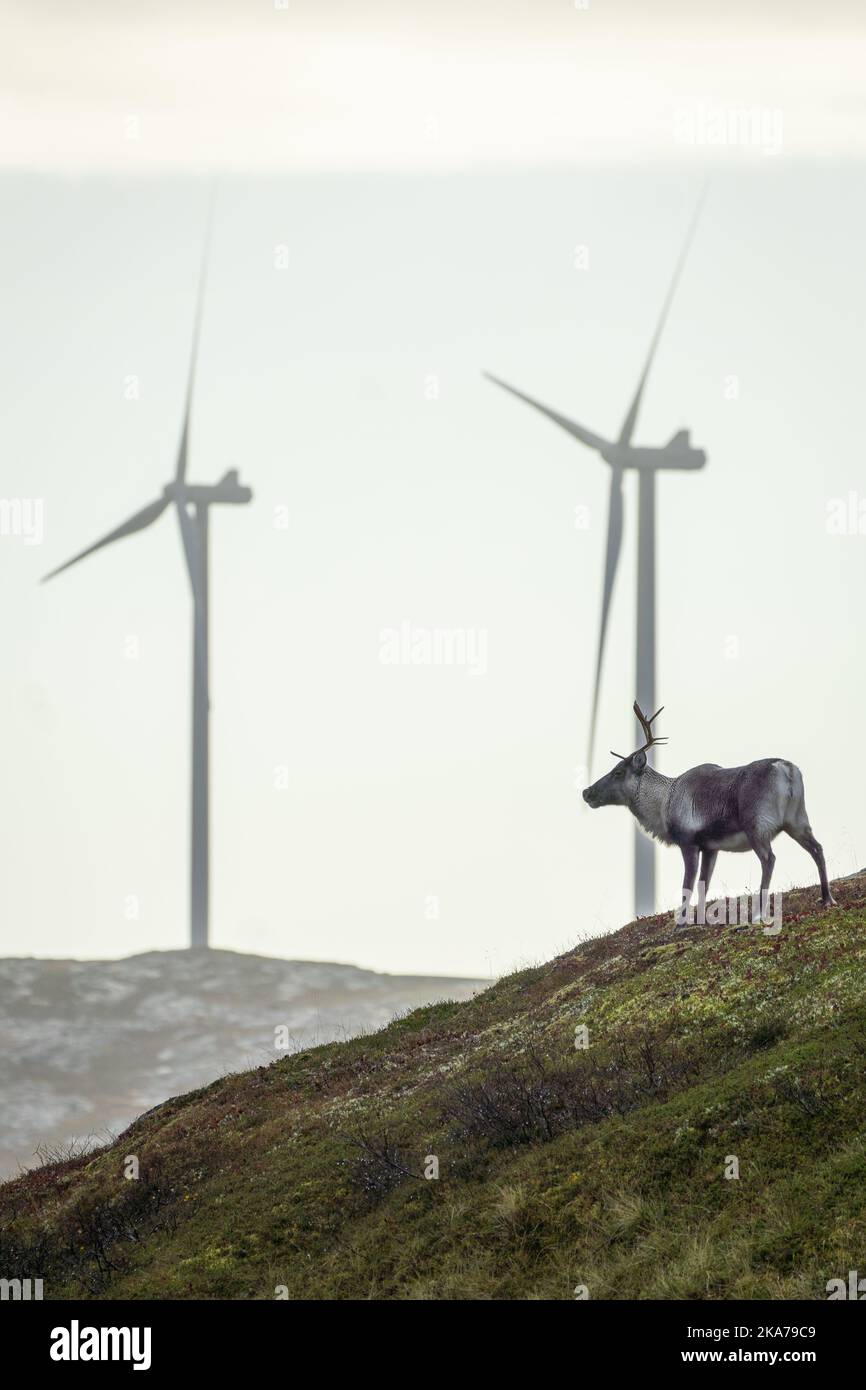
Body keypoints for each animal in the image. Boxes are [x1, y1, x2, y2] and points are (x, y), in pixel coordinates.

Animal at [582, 702, 836, 924]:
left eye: (618, 771)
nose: (586, 792)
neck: (663, 805)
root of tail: (787, 770)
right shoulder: (711, 847)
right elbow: (704, 883)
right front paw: (702, 918)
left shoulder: (689, 842)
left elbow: (687, 884)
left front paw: (681, 922)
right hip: (797, 819)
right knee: (817, 848)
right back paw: (827, 899)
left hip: (757, 825)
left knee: (769, 859)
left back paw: (758, 914)